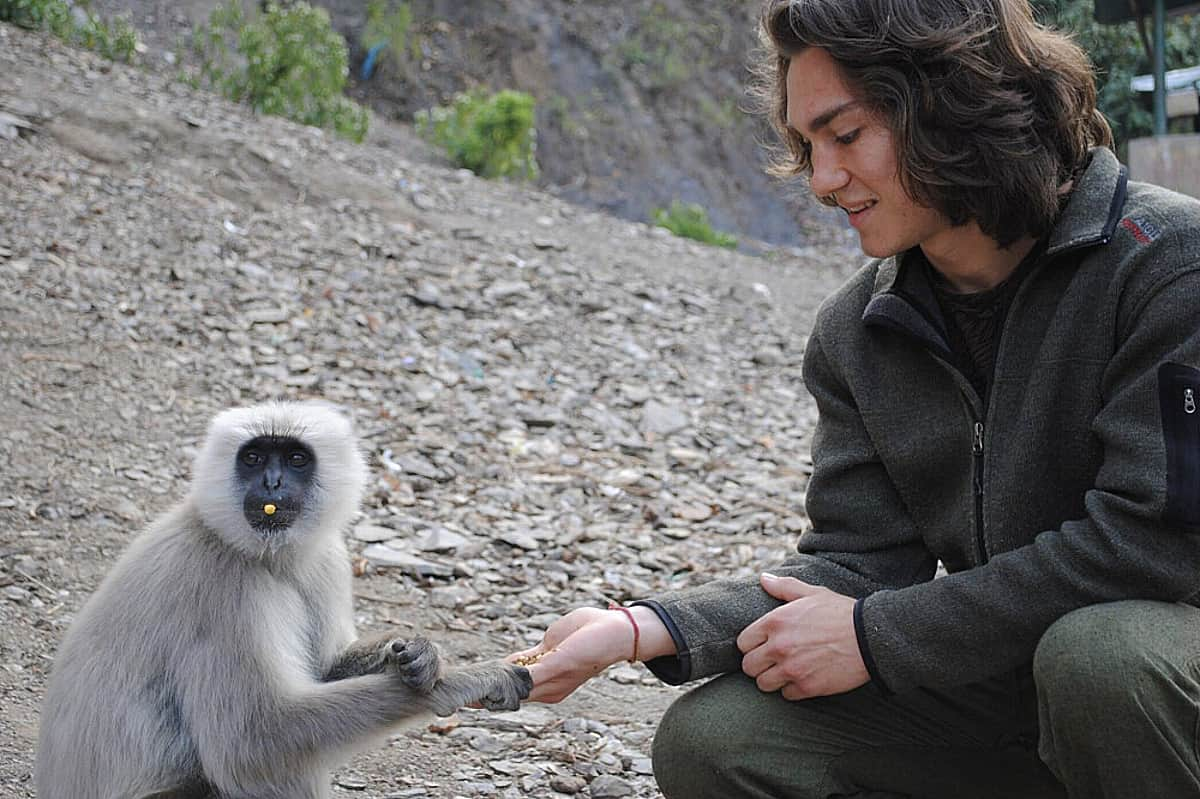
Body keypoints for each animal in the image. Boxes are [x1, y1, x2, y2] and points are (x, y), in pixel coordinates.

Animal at [36, 400, 530, 796]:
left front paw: (418, 651)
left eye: (295, 459)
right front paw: (466, 679)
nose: (272, 483)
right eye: (254, 458)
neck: (263, 555)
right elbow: (254, 742)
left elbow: (326, 668)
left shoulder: (327, 557)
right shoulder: (224, 586)